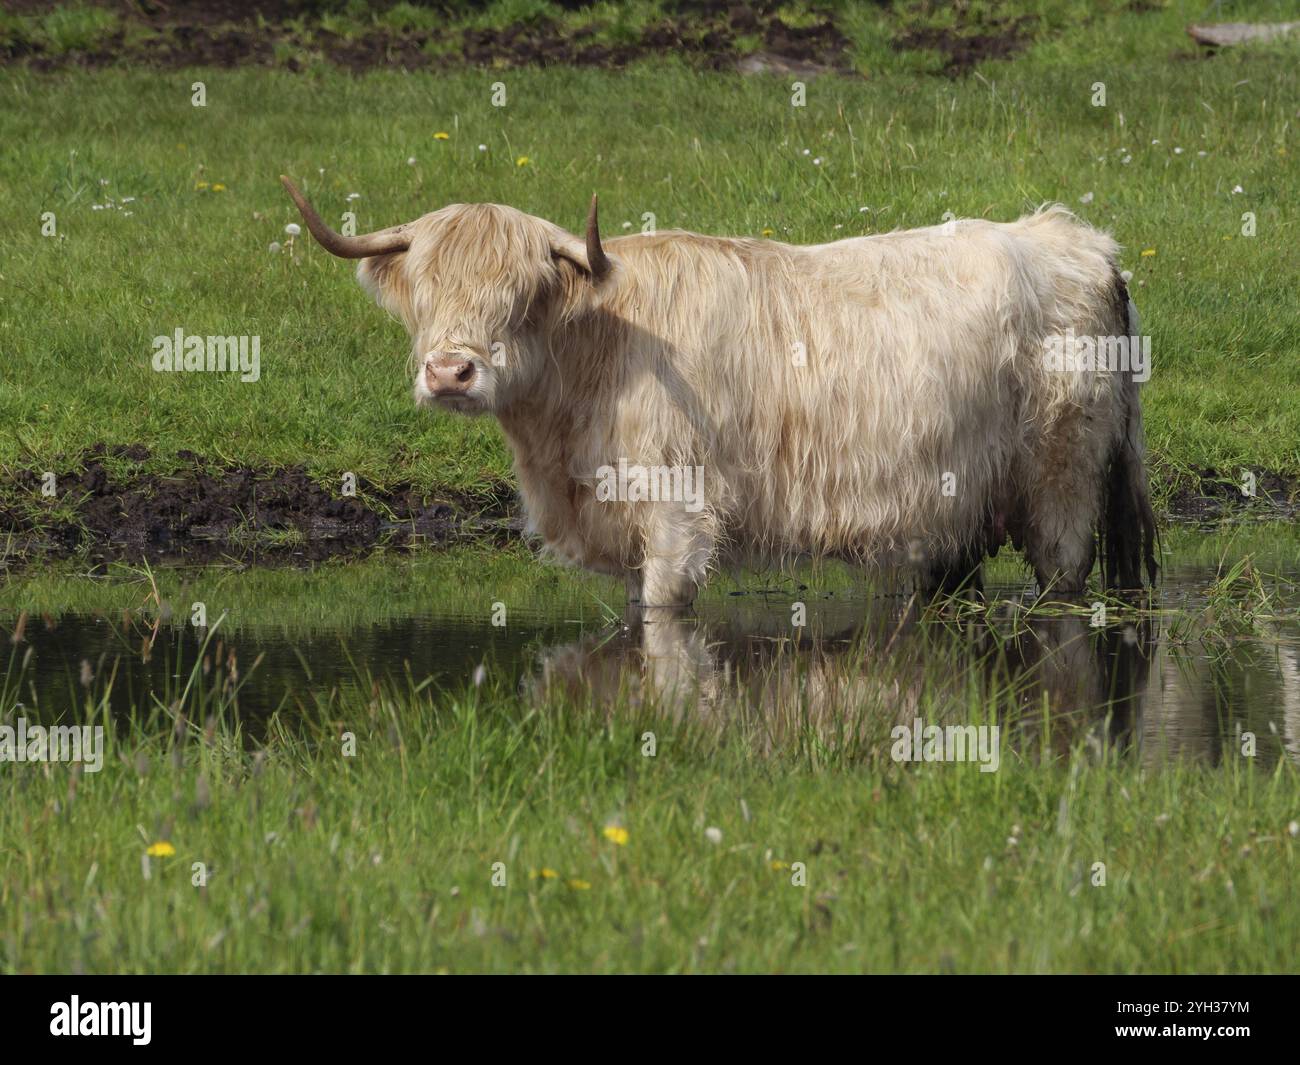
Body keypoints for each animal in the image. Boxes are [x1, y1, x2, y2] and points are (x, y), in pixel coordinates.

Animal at [281, 175, 1157, 607]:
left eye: (522, 293)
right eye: (425, 290)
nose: (450, 372)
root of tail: (1073, 239)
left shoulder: (677, 512)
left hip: (1065, 483)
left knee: (1062, 580)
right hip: (957, 502)